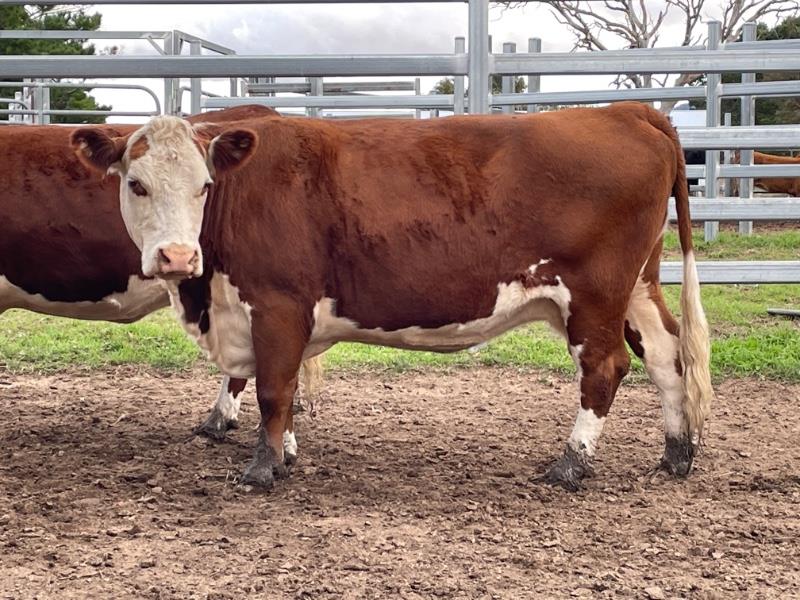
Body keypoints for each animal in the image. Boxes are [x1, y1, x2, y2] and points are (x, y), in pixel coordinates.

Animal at [71, 101, 714, 491]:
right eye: (136, 184)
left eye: (204, 185)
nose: (177, 257)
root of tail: (625, 110)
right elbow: (280, 386)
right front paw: (287, 452)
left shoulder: (278, 302)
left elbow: (274, 389)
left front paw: (263, 467)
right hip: (638, 286)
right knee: (667, 357)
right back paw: (677, 453)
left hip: (595, 293)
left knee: (606, 368)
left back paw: (571, 464)